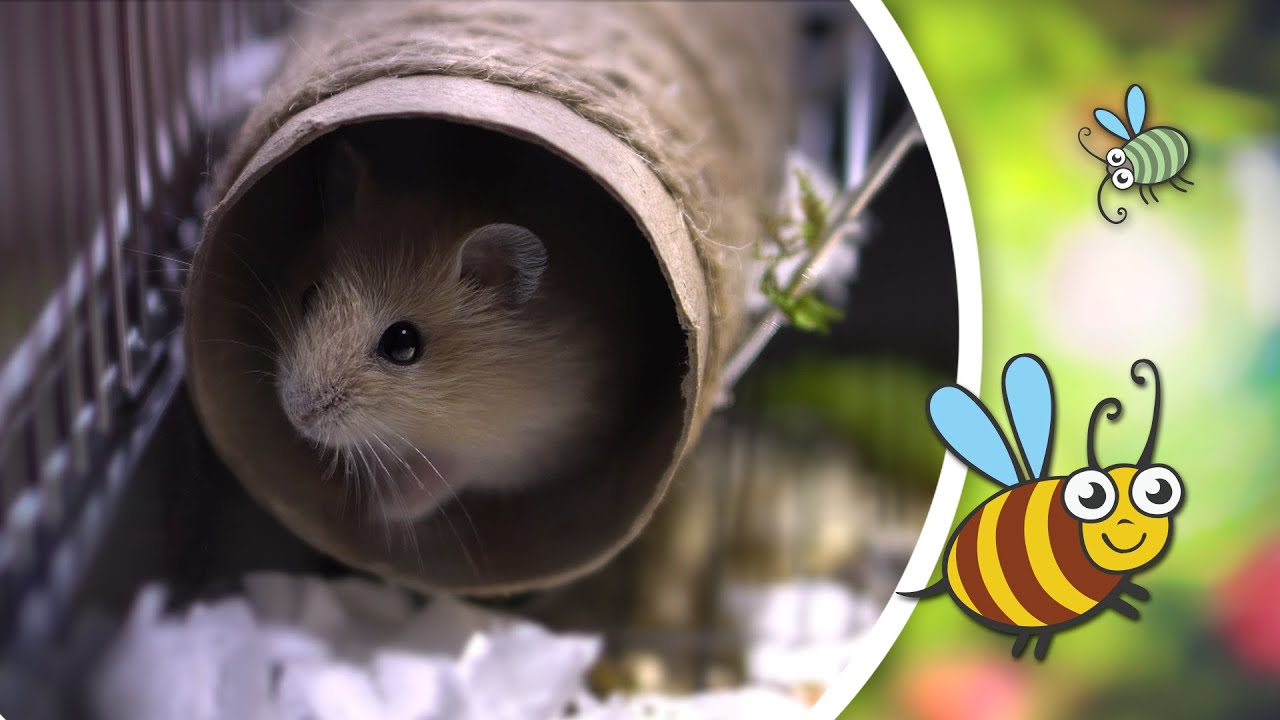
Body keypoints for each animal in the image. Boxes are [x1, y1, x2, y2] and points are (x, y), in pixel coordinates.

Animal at [271, 135, 632, 525]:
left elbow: (453, 470)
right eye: (309, 295)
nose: (297, 416)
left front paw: (384, 510)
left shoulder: (533, 434)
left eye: (403, 344)